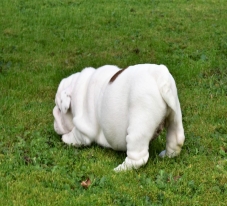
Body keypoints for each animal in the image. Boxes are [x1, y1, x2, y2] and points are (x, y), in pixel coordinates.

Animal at [52, 63, 184, 171]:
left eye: (59, 108)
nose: (54, 112)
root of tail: (160, 76)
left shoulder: (84, 129)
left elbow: (75, 136)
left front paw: (65, 138)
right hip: (175, 112)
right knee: (176, 139)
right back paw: (166, 155)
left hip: (139, 122)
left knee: (138, 157)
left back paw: (120, 169)